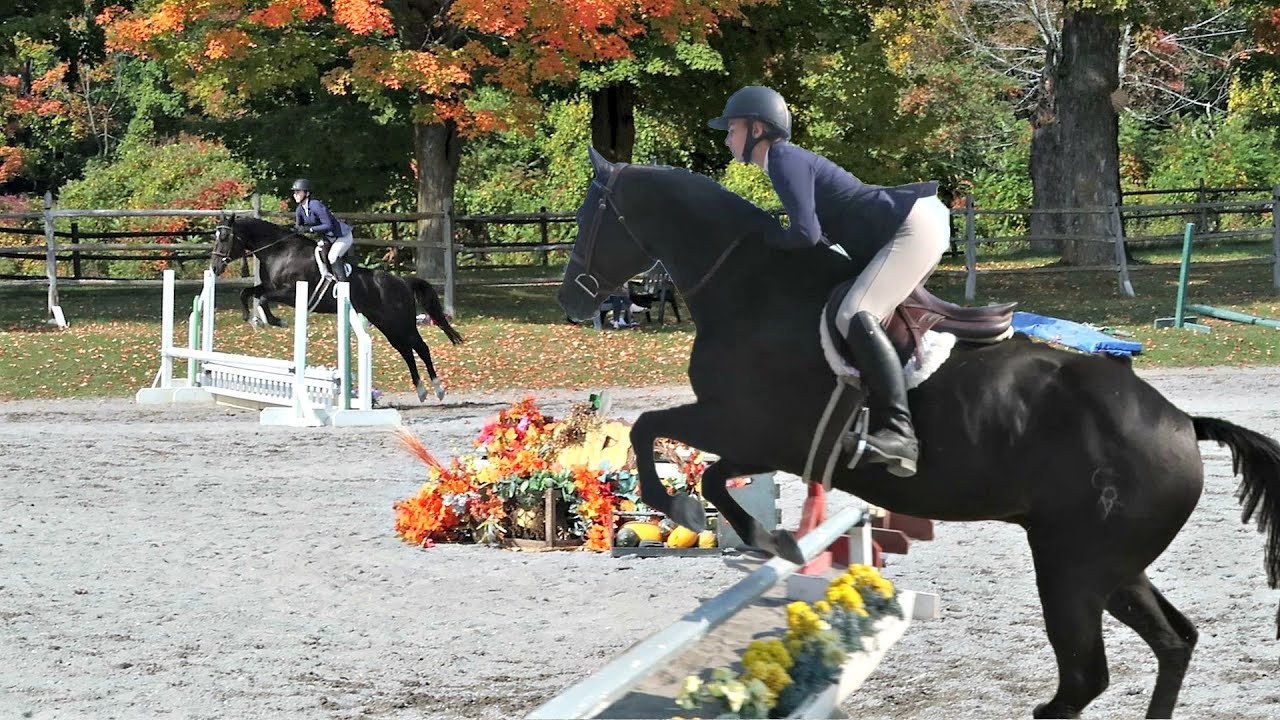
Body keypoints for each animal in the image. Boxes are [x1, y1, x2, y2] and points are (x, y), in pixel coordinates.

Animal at [210, 214, 463, 402]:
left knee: (420, 348)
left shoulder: (291, 293)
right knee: (406, 351)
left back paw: (438, 389)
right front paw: (251, 317)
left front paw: (274, 320)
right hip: (387, 325)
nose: (214, 267)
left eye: (225, 237)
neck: (279, 252)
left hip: (401, 323)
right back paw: (421, 391)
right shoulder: (270, 286)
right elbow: (248, 293)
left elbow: (263, 298)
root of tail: (402, 281)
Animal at [557, 148, 1280, 719]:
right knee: (1173, 642)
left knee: (1083, 679)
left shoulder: (751, 426)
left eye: (589, 217)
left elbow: (655, 435)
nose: (571, 302)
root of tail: (1183, 423)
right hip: (1114, 568)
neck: (750, 290)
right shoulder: (761, 437)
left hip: (1073, 568)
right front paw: (770, 539)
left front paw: (697, 515)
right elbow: (703, 467)